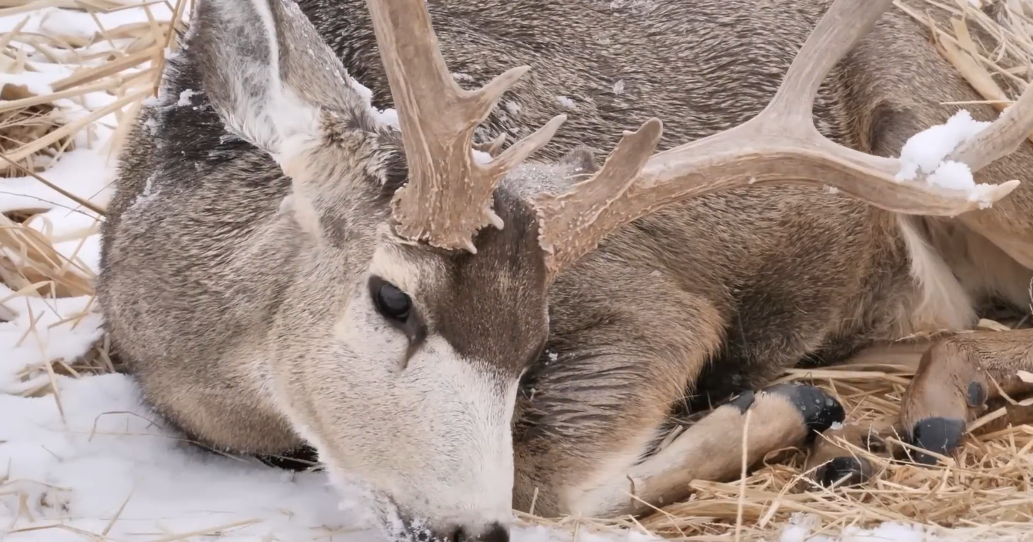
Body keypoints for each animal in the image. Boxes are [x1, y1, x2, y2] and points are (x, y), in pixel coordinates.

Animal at [95, 0, 1033, 540]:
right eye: (391, 298)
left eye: (535, 337)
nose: (469, 530)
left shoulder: (649, 305)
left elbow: (550, 486)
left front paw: (782, 411)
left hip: (945, 121)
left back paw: (927, 408)